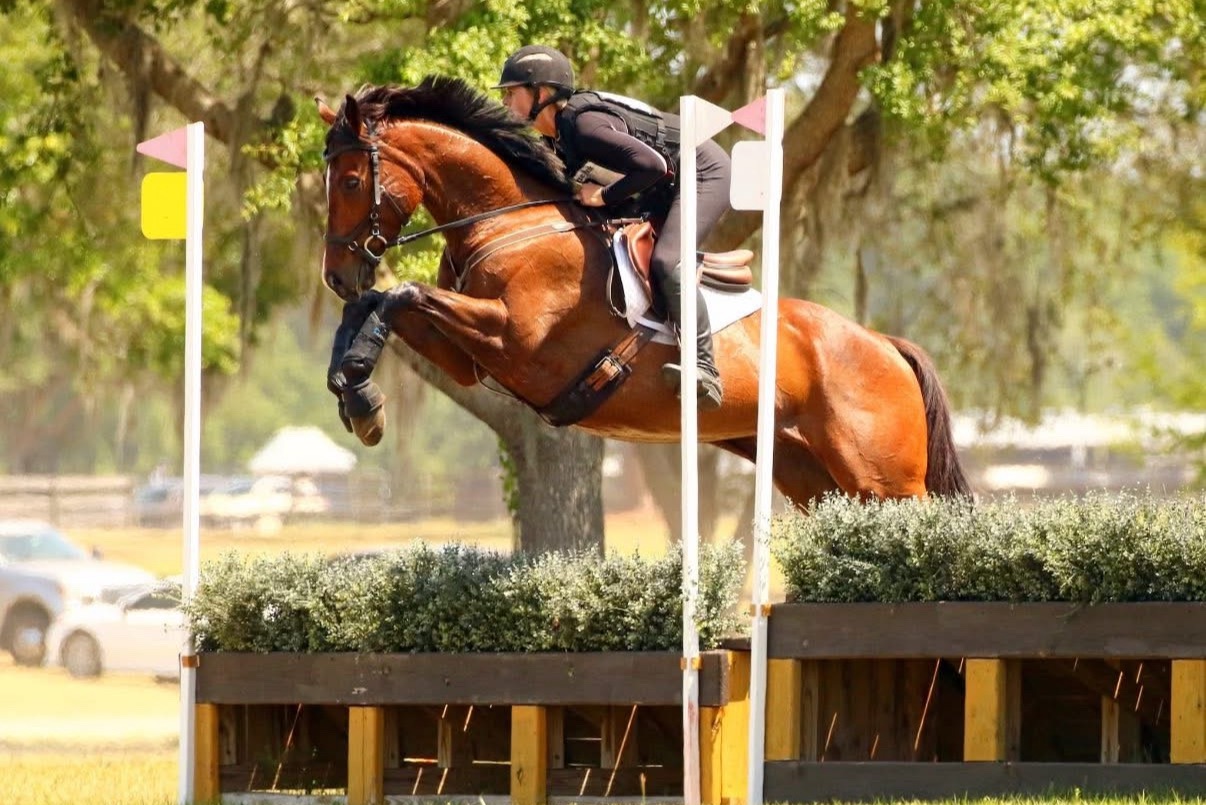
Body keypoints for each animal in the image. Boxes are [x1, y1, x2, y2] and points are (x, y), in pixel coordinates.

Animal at [317, 76, 972, 507]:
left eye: (349, 181)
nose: (335, 276)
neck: (507, 222)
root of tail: (885, 345)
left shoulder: (517, 340)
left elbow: (400, 293)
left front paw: (361, 391)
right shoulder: (470, 362)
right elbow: (382, 303)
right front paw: (355, 391)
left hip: (885, 482)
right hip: (813, 477)